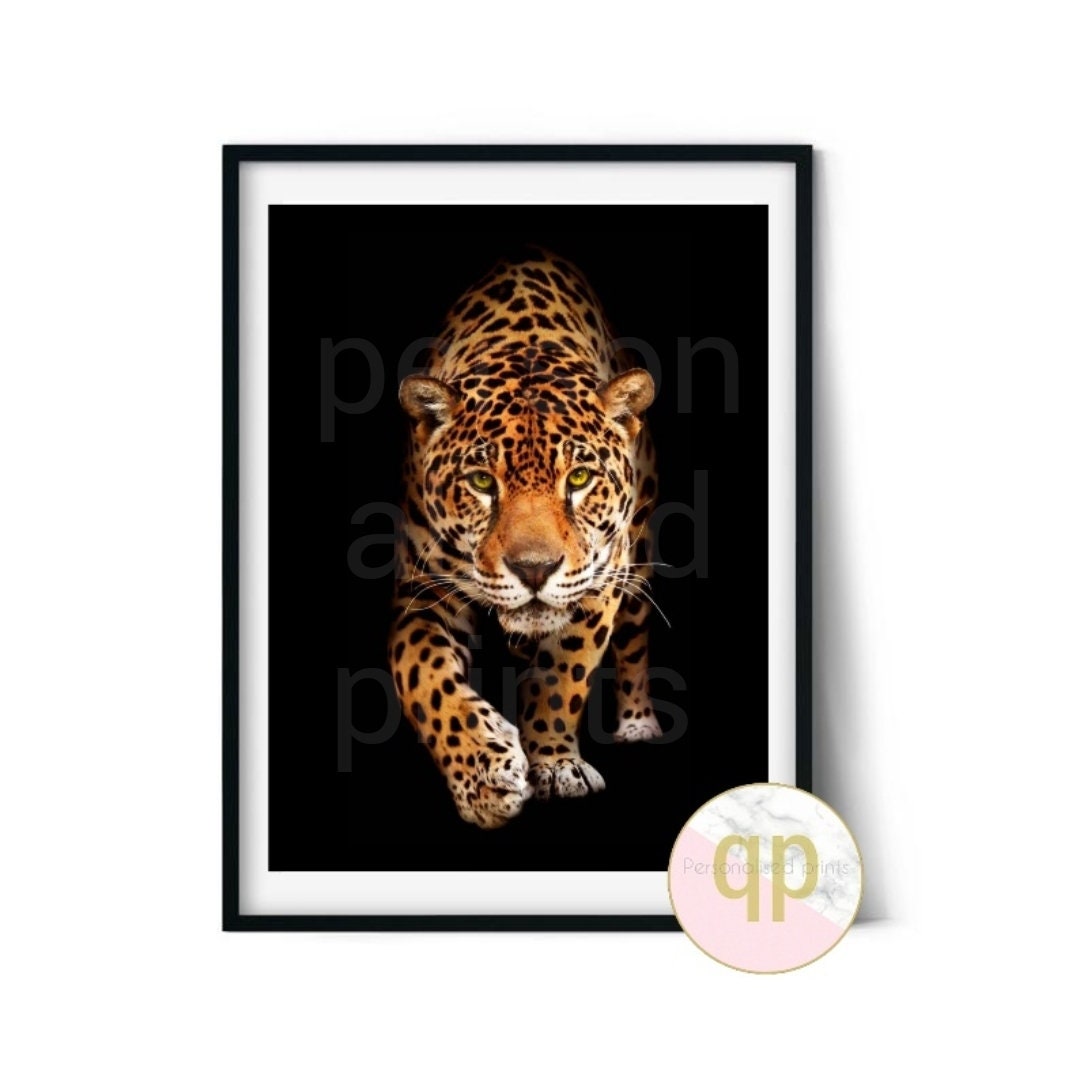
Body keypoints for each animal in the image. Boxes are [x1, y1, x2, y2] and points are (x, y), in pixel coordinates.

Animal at [388, 246, 661, 829]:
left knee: (634, 638)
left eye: (578, 478)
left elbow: (562, 676)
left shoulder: (599, 582)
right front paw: (484, 778)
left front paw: (556, 765)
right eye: (481, 482)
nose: (534, 569)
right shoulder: (423, 592)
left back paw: (638, 723)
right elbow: (424, 677)